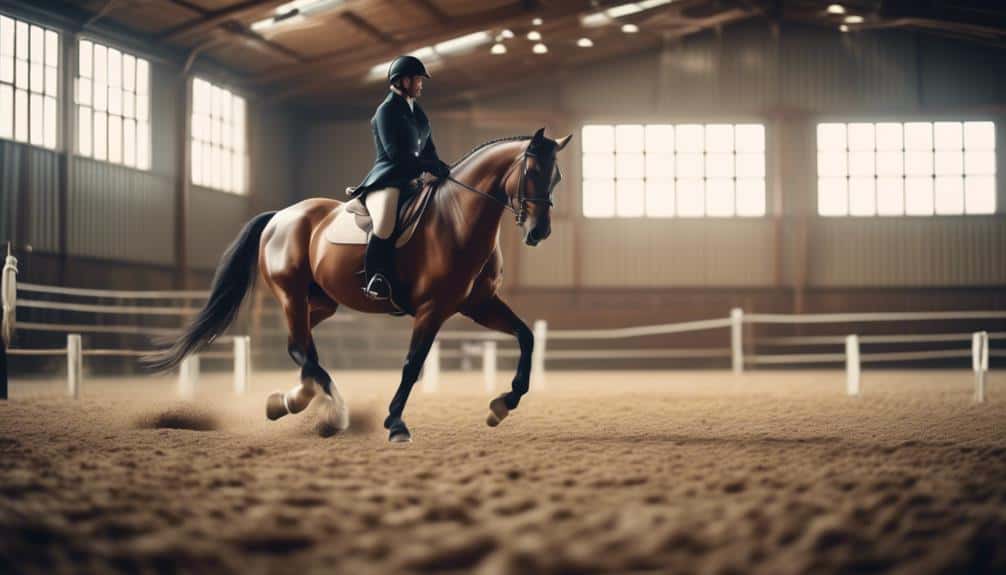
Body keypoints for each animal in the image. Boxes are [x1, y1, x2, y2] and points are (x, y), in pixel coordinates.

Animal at [145, 128, 571, 442]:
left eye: (556, 176)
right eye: (532, 172)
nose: (539, 232)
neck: (458, 218)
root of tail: (280, 215)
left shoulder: (477, 303)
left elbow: (526, 337)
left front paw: (503, 404)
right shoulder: (433, 309)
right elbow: (412, 365)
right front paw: (395, 423)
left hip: (320, 302)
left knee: (302, 348)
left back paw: (291, 401)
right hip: (290, 293)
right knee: (301, 348)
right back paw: (333, 411)